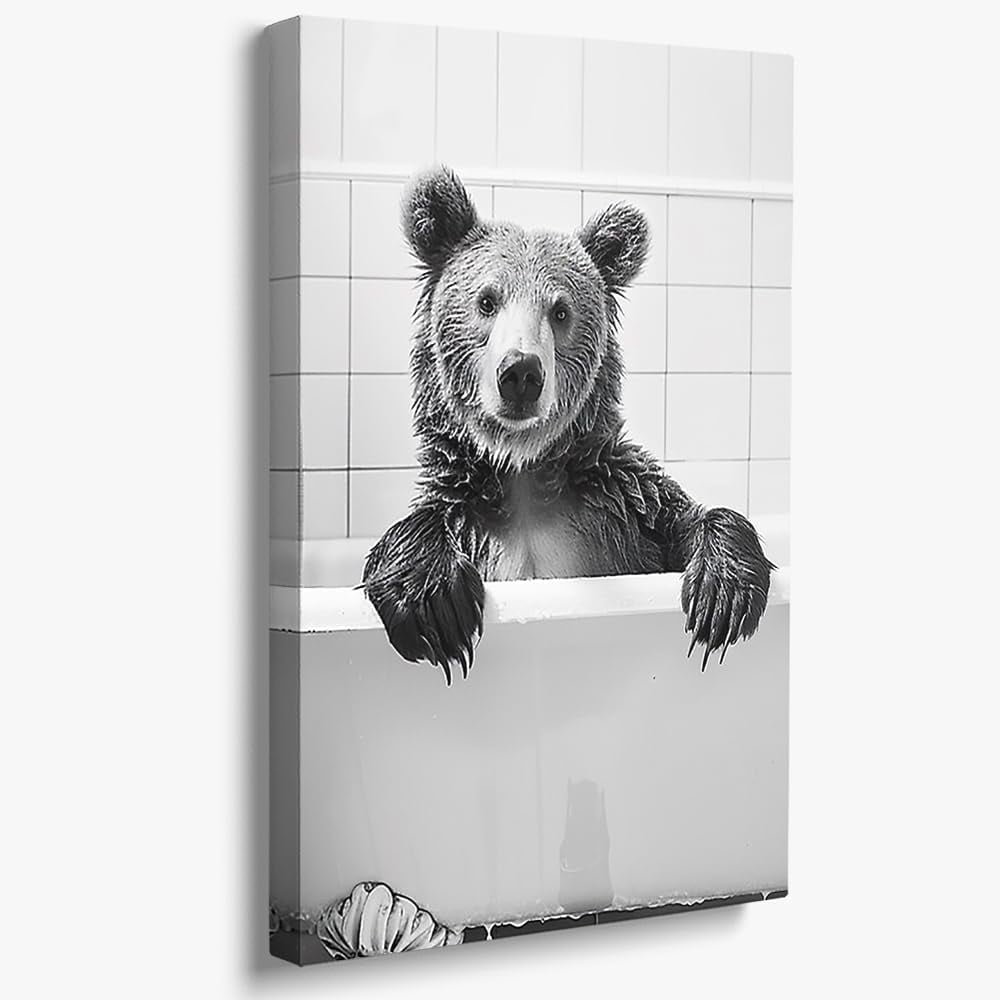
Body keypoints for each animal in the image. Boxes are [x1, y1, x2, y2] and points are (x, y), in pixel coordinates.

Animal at [362, 166, 774, 684]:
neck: (521, 472)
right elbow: (414, 532)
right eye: (487, 300)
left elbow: (687, 518)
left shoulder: (623, 506)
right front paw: (434, 605)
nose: (520, 373)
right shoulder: (466, 516)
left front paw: (723, 594)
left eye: (560, 310)